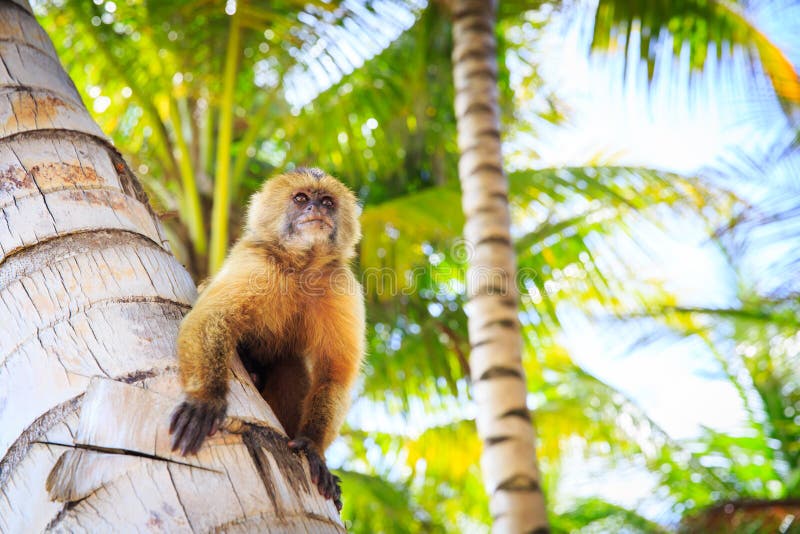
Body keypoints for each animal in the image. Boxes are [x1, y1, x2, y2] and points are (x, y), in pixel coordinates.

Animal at [169, 167, 365, 510]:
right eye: (301, 198)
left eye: (327, 202)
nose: (315, 208)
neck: (301, 267)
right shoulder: (256, 260)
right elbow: (210, 317)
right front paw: (206, 398)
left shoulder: (341, 285)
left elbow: (334, 374)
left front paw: (312, 447)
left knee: (290, 364)